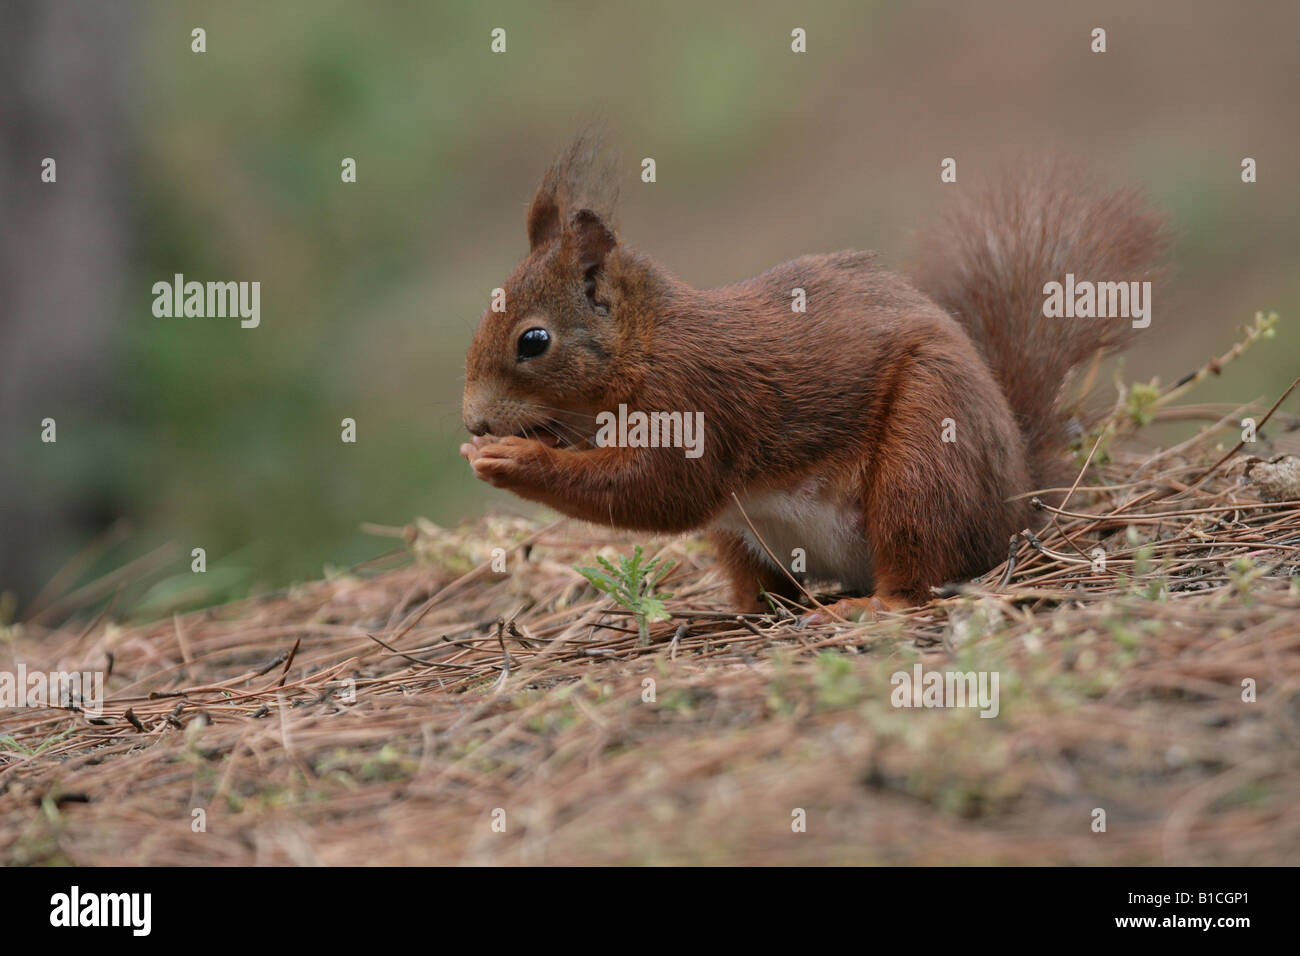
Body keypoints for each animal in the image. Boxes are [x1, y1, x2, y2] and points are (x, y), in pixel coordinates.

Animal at [461, 132, 1166, 619]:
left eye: (533, 341)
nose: (472, 421)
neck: (648, 345)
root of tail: (1018, 503)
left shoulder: (696, 401)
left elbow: (659, 490)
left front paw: (510, 460)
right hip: (742, 540)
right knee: (770, 588)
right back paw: (740, 613)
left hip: (925, 457)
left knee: (920, 568)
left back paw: (871, 607)